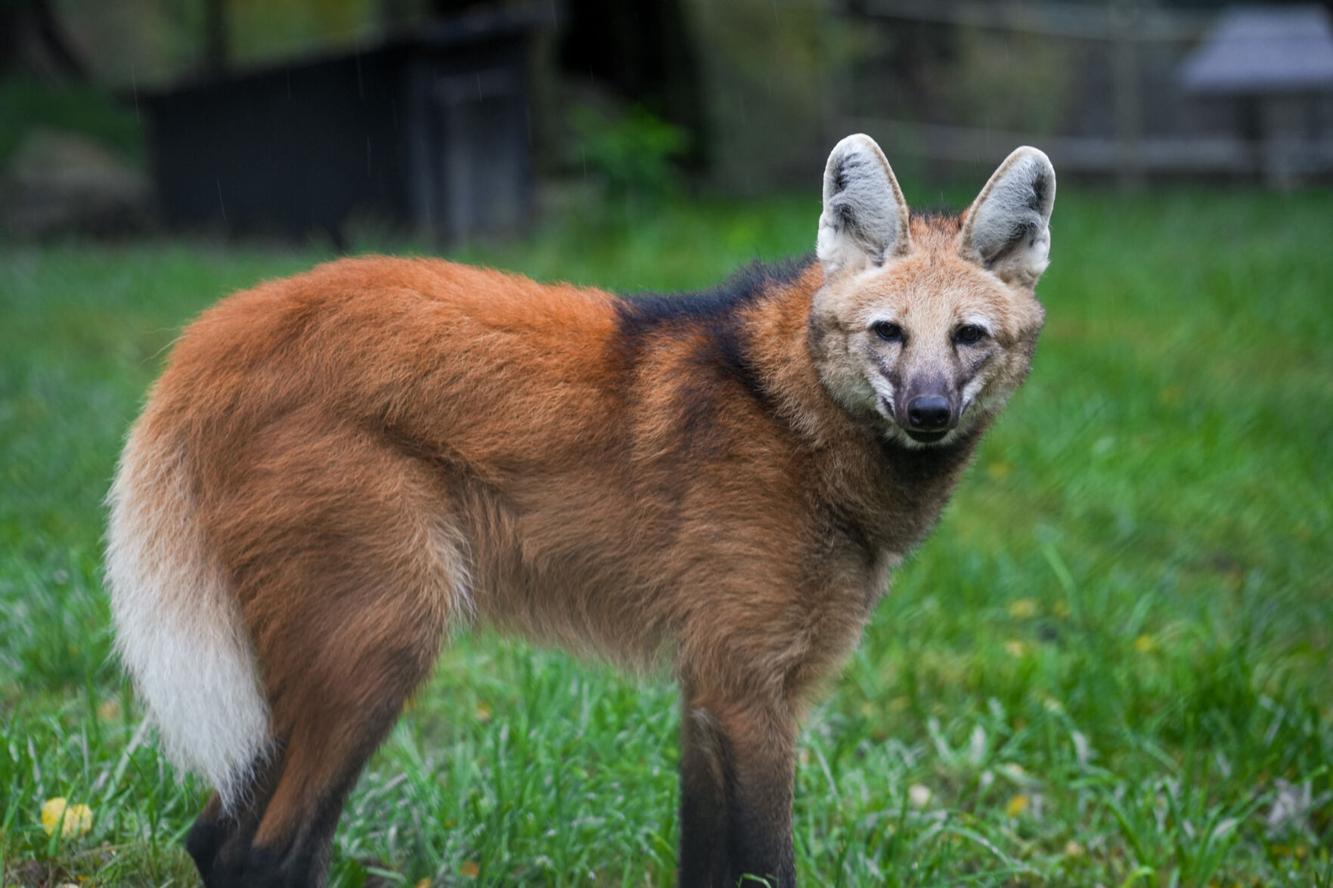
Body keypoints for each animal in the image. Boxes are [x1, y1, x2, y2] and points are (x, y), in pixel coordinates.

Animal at [105, 134, 1054, 886]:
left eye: (968, 337)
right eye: (887, 333)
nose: (928, 412)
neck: (793, 415)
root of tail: (224, 328)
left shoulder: (710, 687)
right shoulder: (747, 689)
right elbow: (762, 866)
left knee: (212, 838)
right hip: (385, 636)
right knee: (266, 851)